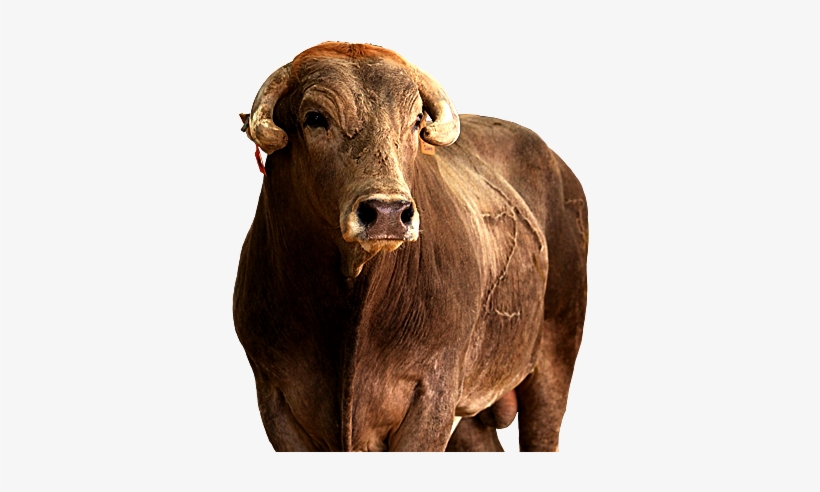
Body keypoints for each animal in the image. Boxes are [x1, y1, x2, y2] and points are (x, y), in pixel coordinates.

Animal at [233, 42, 588, 452]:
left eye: (416, 120)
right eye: (315, 117)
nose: (387, 213)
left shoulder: (433, 394)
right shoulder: (275, 398)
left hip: (554, 356)